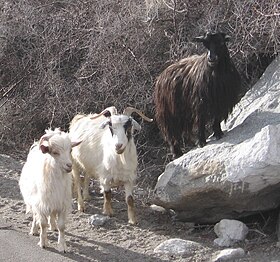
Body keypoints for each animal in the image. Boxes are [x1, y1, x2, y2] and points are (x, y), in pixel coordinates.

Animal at [154, 31, 242, 159]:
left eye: (221, 42)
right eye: (205, 44)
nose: (211, 58)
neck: (217, 74)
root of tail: (161, 76)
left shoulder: (221, 102)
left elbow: (216, 119)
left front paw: (218, 133)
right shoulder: (200, 103)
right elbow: (200, 121)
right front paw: (201, 142)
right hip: (168, 113)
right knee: (171, 133)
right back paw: (177, 153)